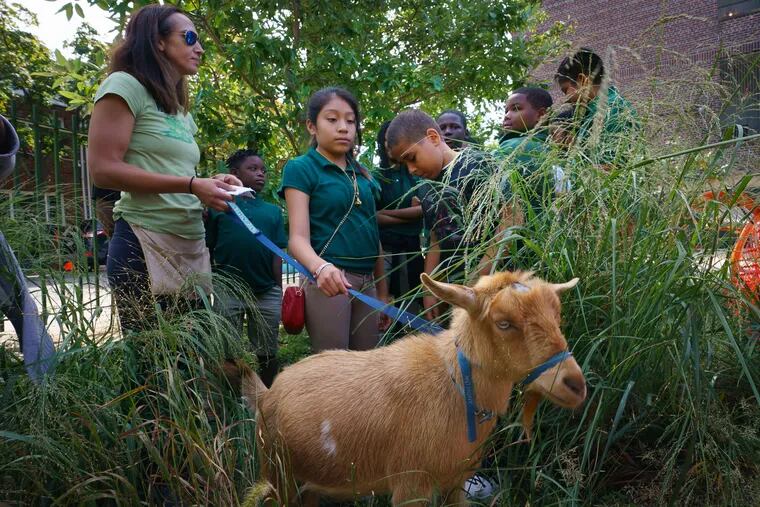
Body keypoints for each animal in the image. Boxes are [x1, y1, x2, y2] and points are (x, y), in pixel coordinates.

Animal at [225, 270, 587, 505]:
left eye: (558, 314)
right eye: (504, 323)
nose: (575, 384)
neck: (454, 387)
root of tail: (268, 391)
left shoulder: (457, 480)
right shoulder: (410, 486)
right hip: (277, 471)